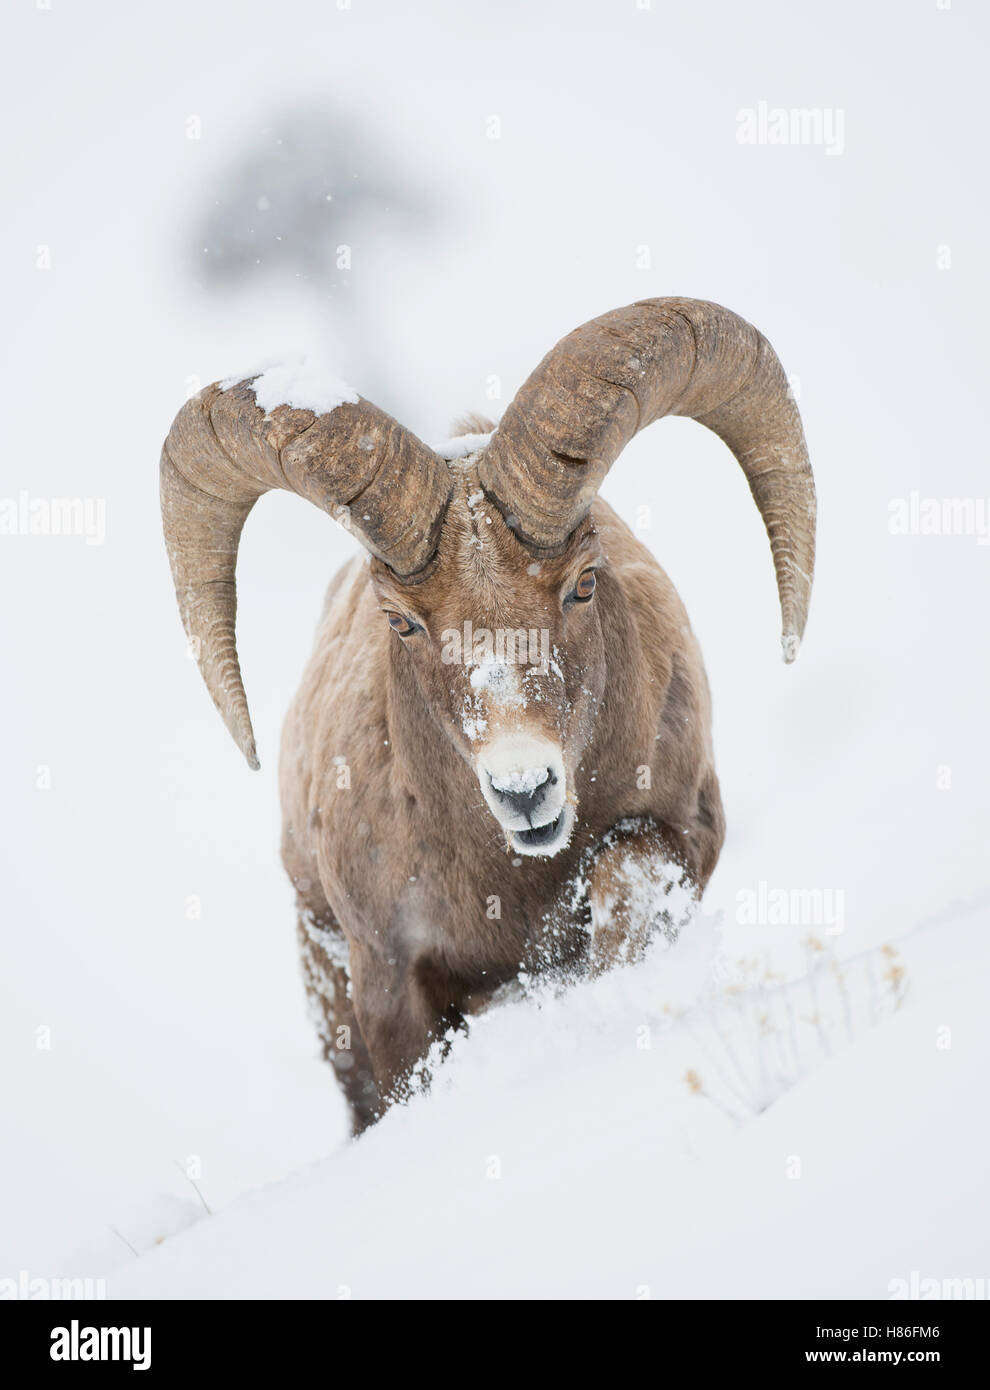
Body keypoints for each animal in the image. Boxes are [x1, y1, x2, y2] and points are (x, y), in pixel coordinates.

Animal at [161, 297, 816, 1132]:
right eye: (402, 621)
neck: (512, 879)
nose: (524, 790)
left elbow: (622, 886)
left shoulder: (678, 837)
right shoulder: (389, 983)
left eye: (582, 583)